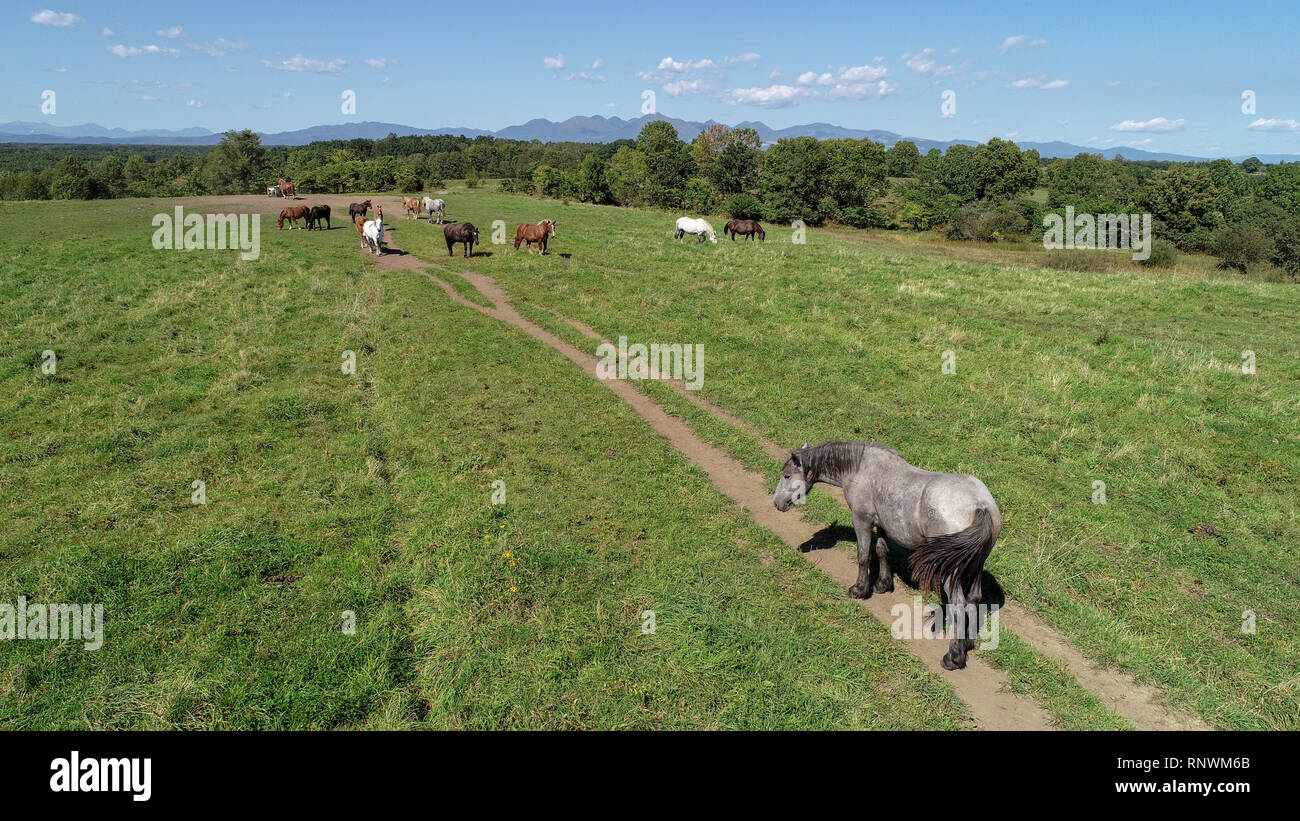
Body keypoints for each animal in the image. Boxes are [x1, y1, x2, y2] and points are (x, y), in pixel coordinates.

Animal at [772, 441, 1001, 671]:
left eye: (786, 475)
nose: (776, 503)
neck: (860, 468)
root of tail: (980, 505)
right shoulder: (881, 525)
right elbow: (882, 551)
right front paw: (882, 585)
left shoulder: (862, 520)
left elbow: (863, 555)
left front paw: (859, 590)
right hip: (974, 565)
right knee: (973, 599)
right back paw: (967, 643)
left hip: (950, 572)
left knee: (958, 605)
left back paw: (953, 657)